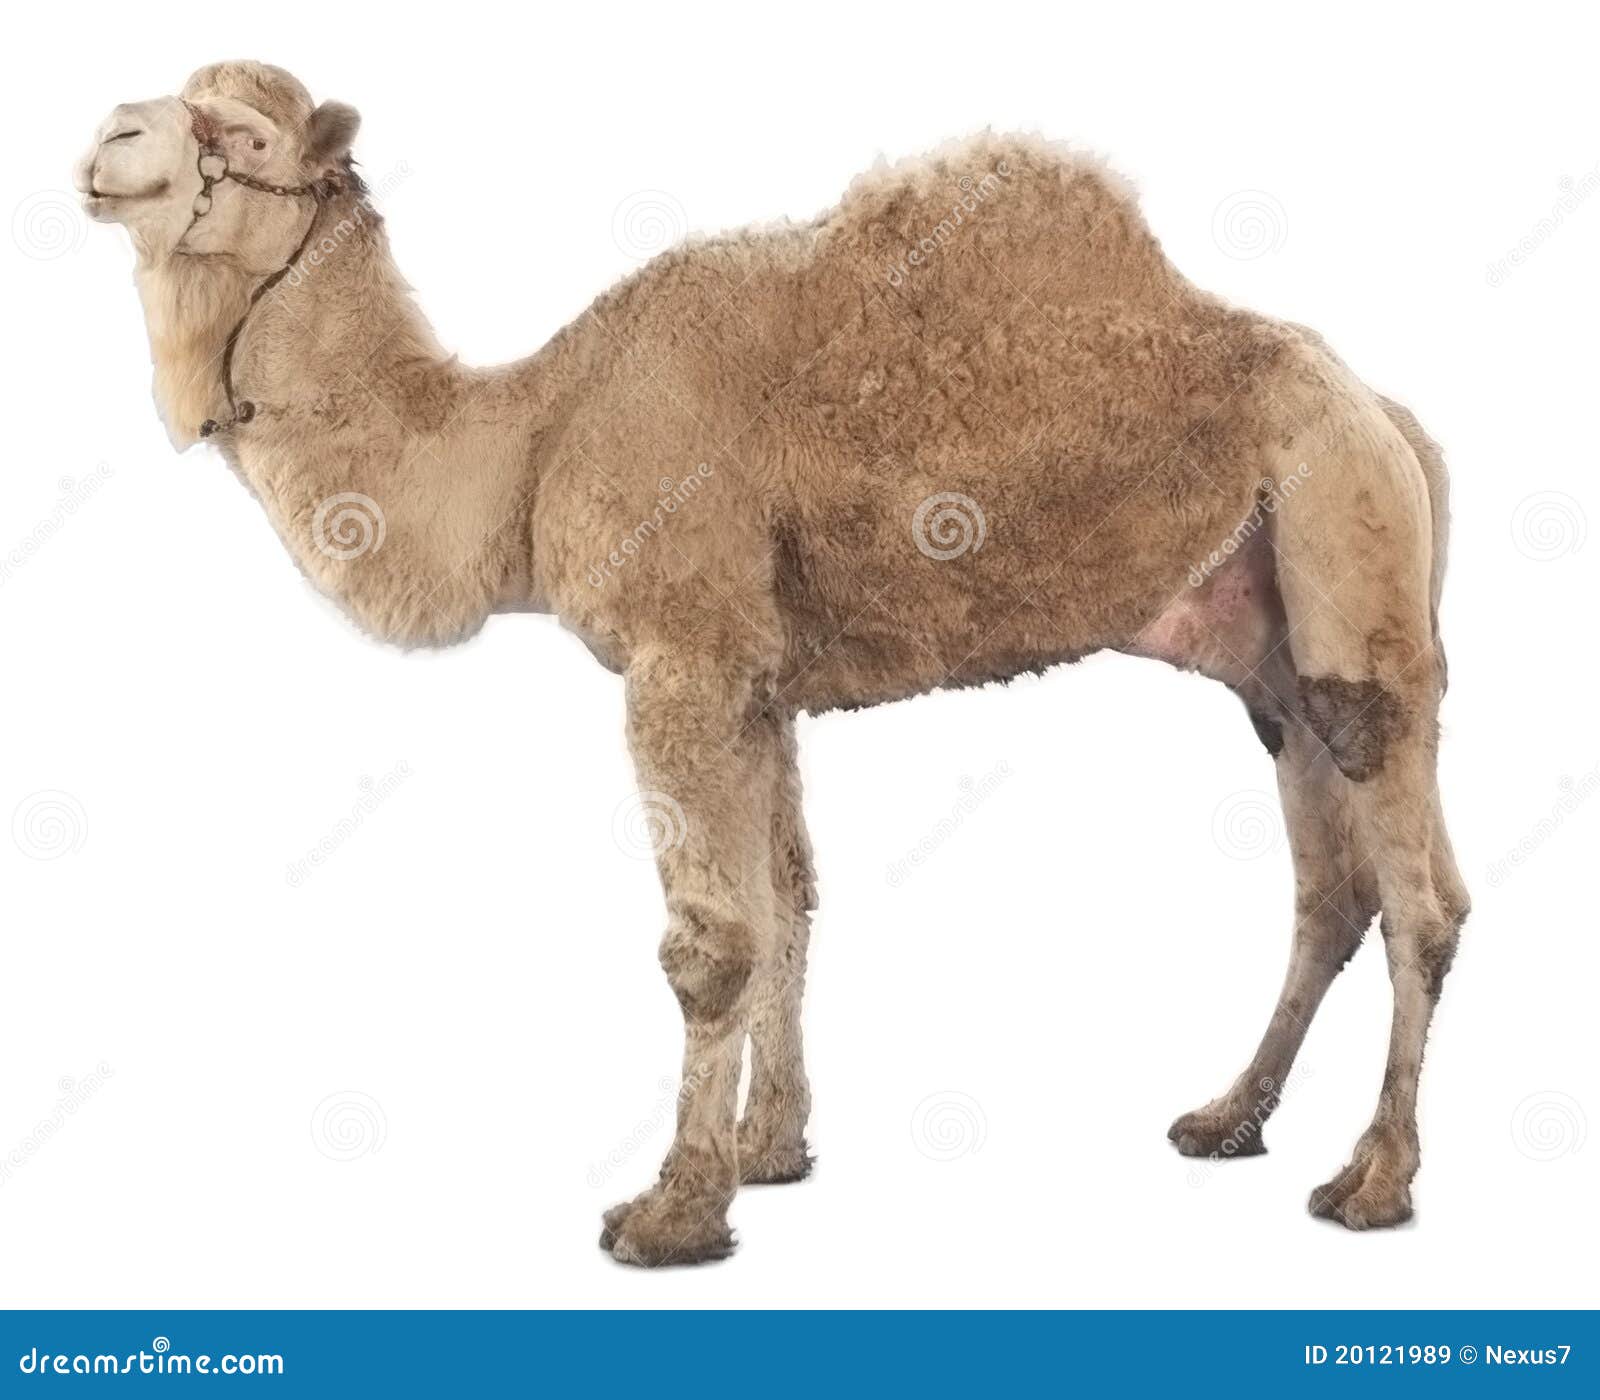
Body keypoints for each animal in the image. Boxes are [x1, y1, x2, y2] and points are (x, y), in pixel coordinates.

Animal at [76, 61, 1469, 1266]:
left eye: (242, 138)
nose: (106, 141)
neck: (533, 436)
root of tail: (1392, 417)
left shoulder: (679, 656)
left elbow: (709, 942)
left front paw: (671, 1210)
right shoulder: (757, 683)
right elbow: (788, 897)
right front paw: (768, 1148)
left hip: (1350, 556)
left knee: (1420, 893)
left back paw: (1374, 1180)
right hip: (1271, 647)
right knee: (1327, 886)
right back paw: (1228, 1117)